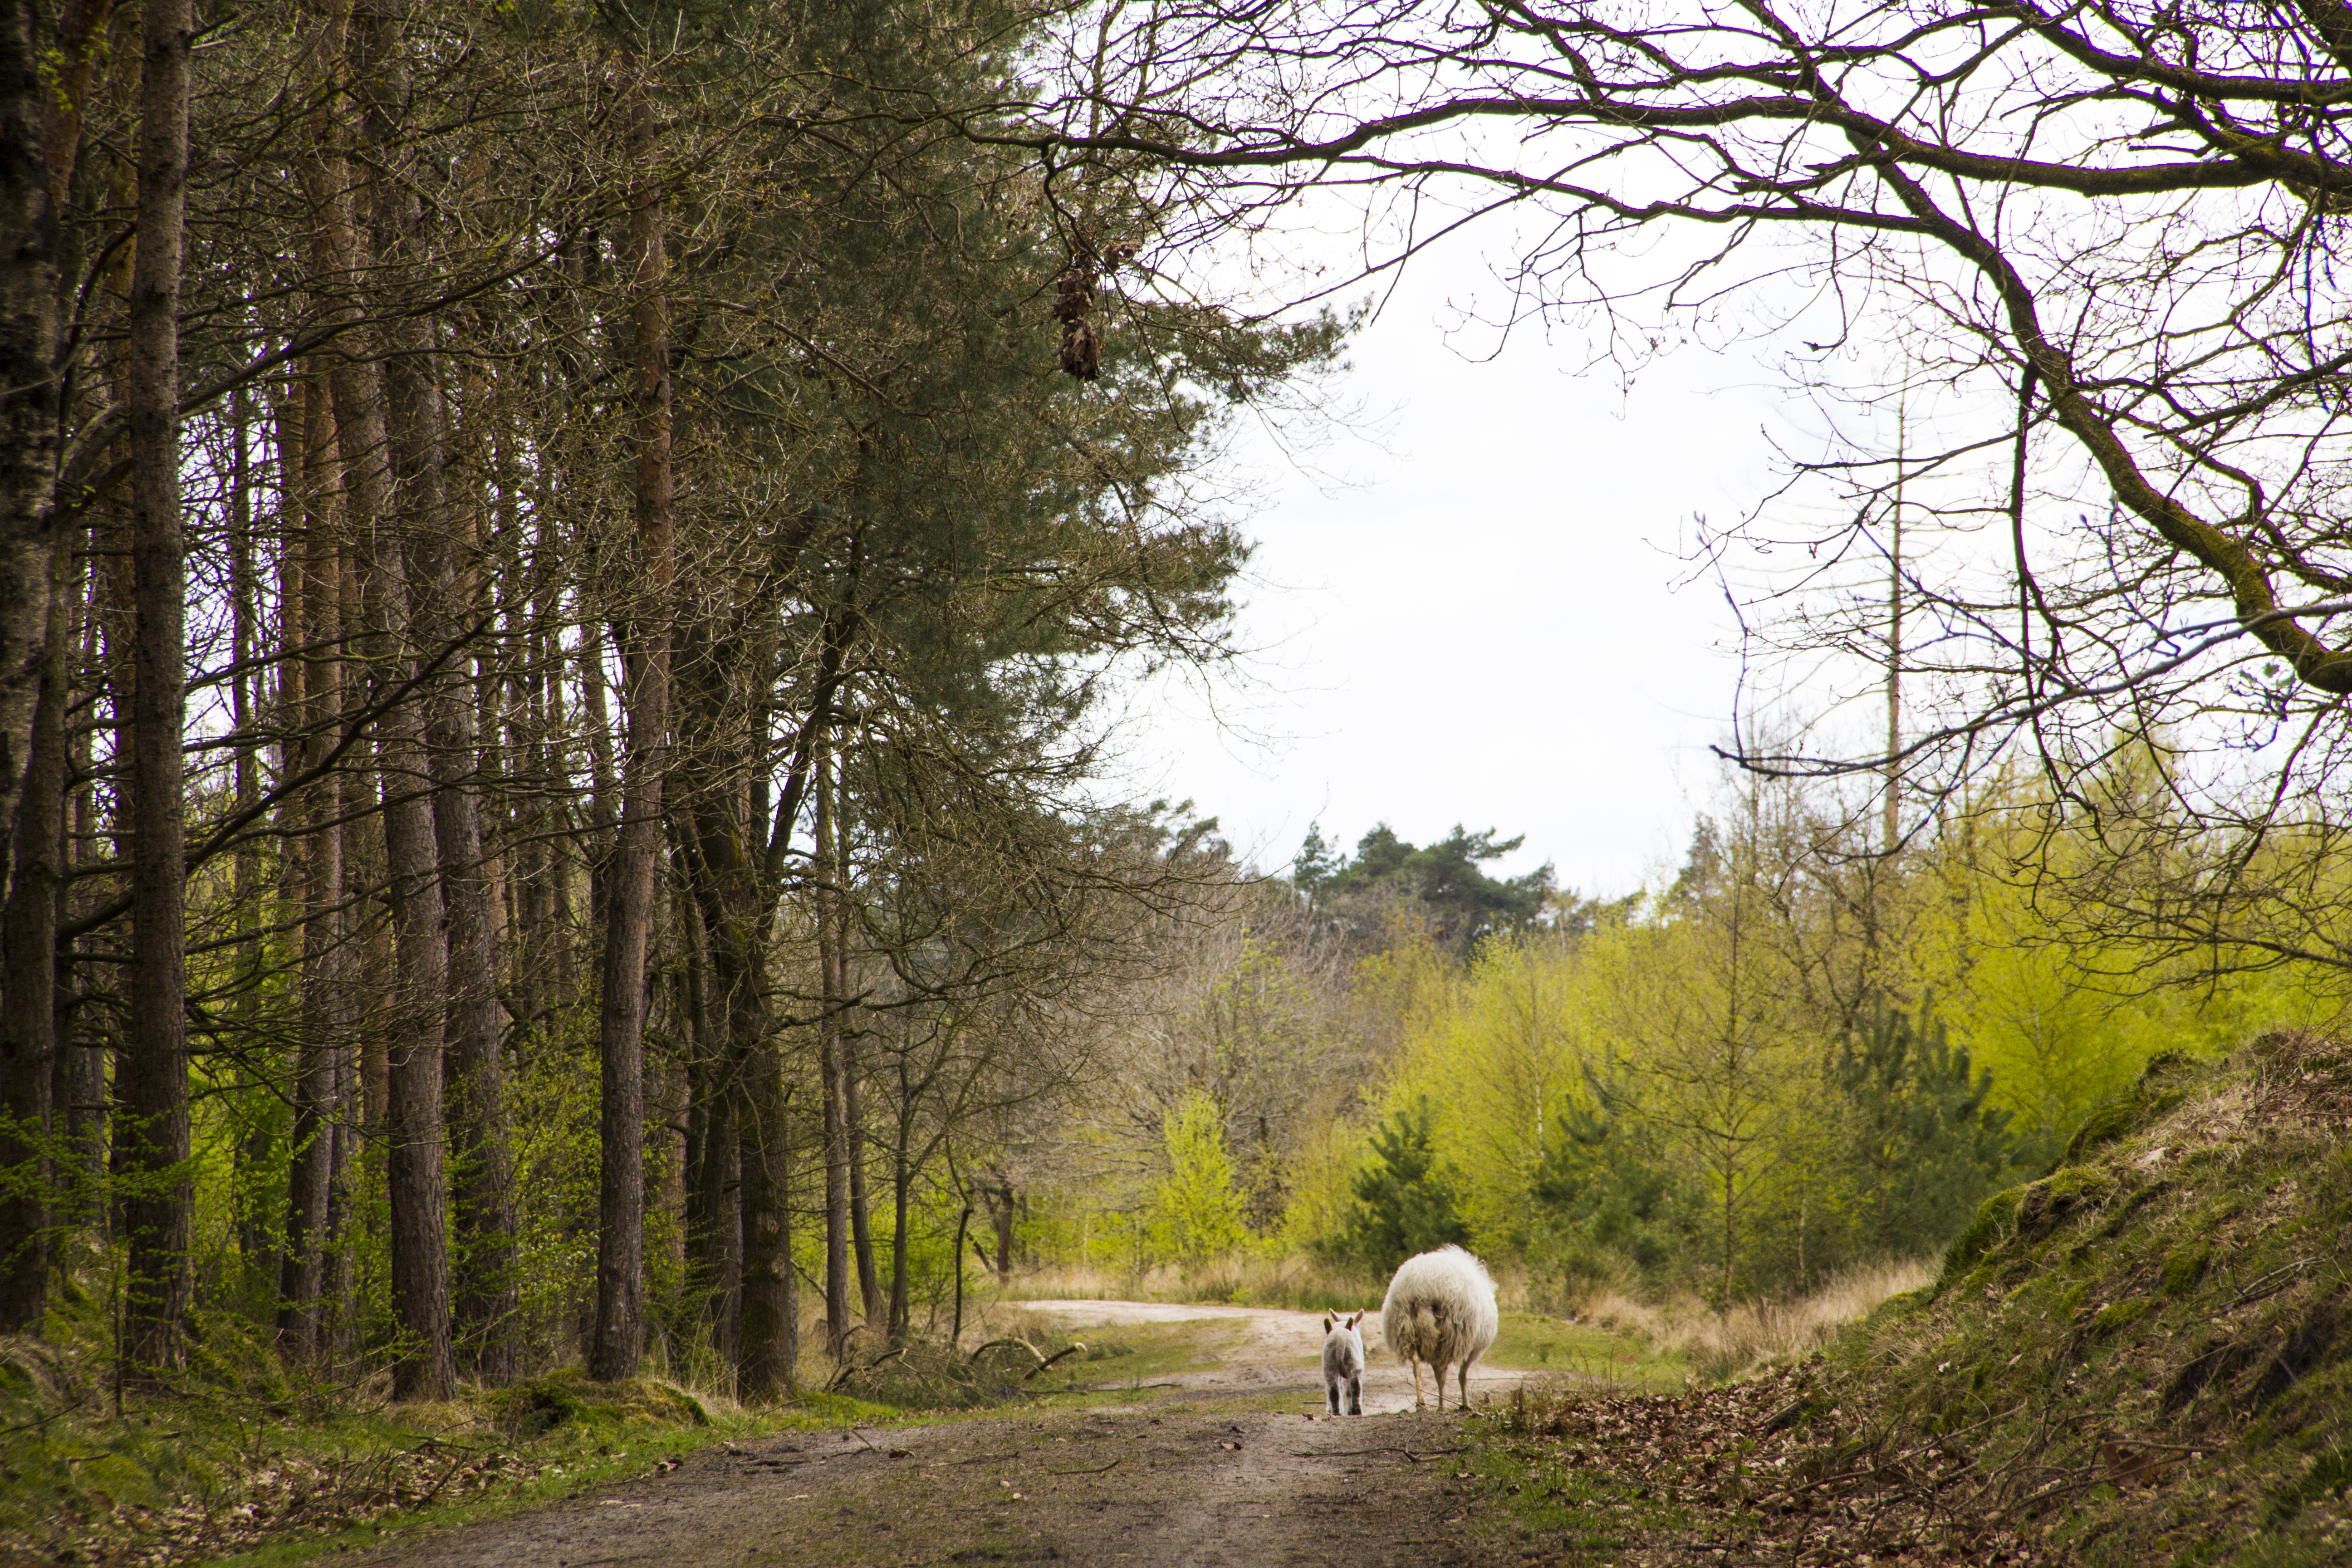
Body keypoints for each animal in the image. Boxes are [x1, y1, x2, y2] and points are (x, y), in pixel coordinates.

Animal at [1320, 1309, 1367, 1415]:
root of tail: (1340, 1340)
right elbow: (1349, 1390)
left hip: (1329, 1361)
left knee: (1333, 1388)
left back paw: (1337, 1413)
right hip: (1353, 1358)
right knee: (1355, 1385)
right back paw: (1357, 1411)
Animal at [1380, 1244, 1499, 1411]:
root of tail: (1423, 1286)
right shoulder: (1472, 1349)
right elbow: (1463, 1375)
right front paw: (1466, 1404)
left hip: (1405, 1329)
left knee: (1417, 1365)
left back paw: (1422, 1402)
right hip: (1451, 1334)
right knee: (1441, 1375)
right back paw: (1441, 1406)